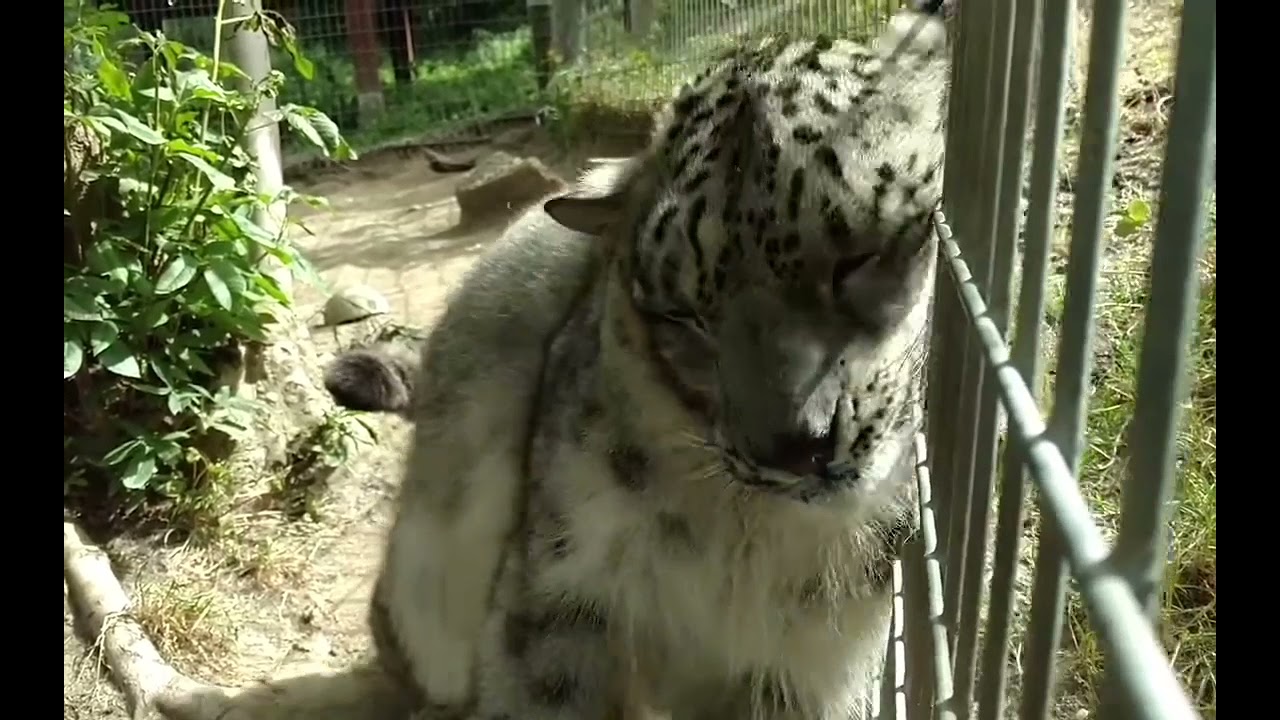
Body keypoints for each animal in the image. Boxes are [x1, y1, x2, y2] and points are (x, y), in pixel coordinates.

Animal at [321, 5, 951, 719]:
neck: (748, 541)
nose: (795, 448)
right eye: (683, 314)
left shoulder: (812, 664)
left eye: (861, 258)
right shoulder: (564, 592)